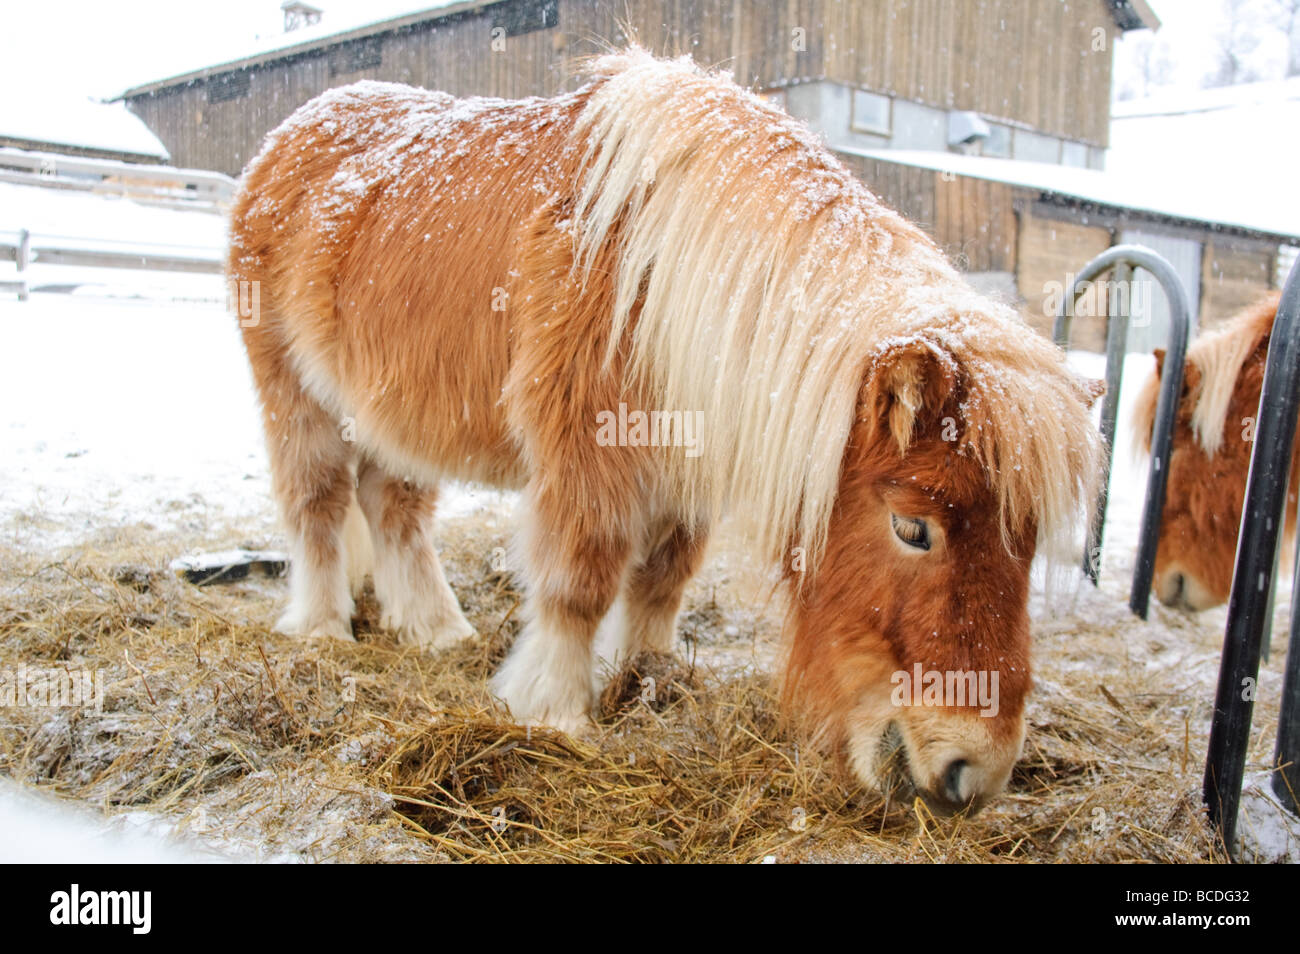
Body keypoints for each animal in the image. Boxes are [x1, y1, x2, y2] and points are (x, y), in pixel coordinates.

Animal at [227, 48, 1101, 815]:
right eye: (913, 528)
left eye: (1028, 545)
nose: (975, 774)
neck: (660, 280)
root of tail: (284, 139)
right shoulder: (587, 455)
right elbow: (580, 579)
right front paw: (555, 710)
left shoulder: (683, 468)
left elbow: (660, 580)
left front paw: (646, 684)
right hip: (295, 396)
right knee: (319, 505)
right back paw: (324, 630)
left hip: (387, 419)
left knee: (393, 506)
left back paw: (437, 631)